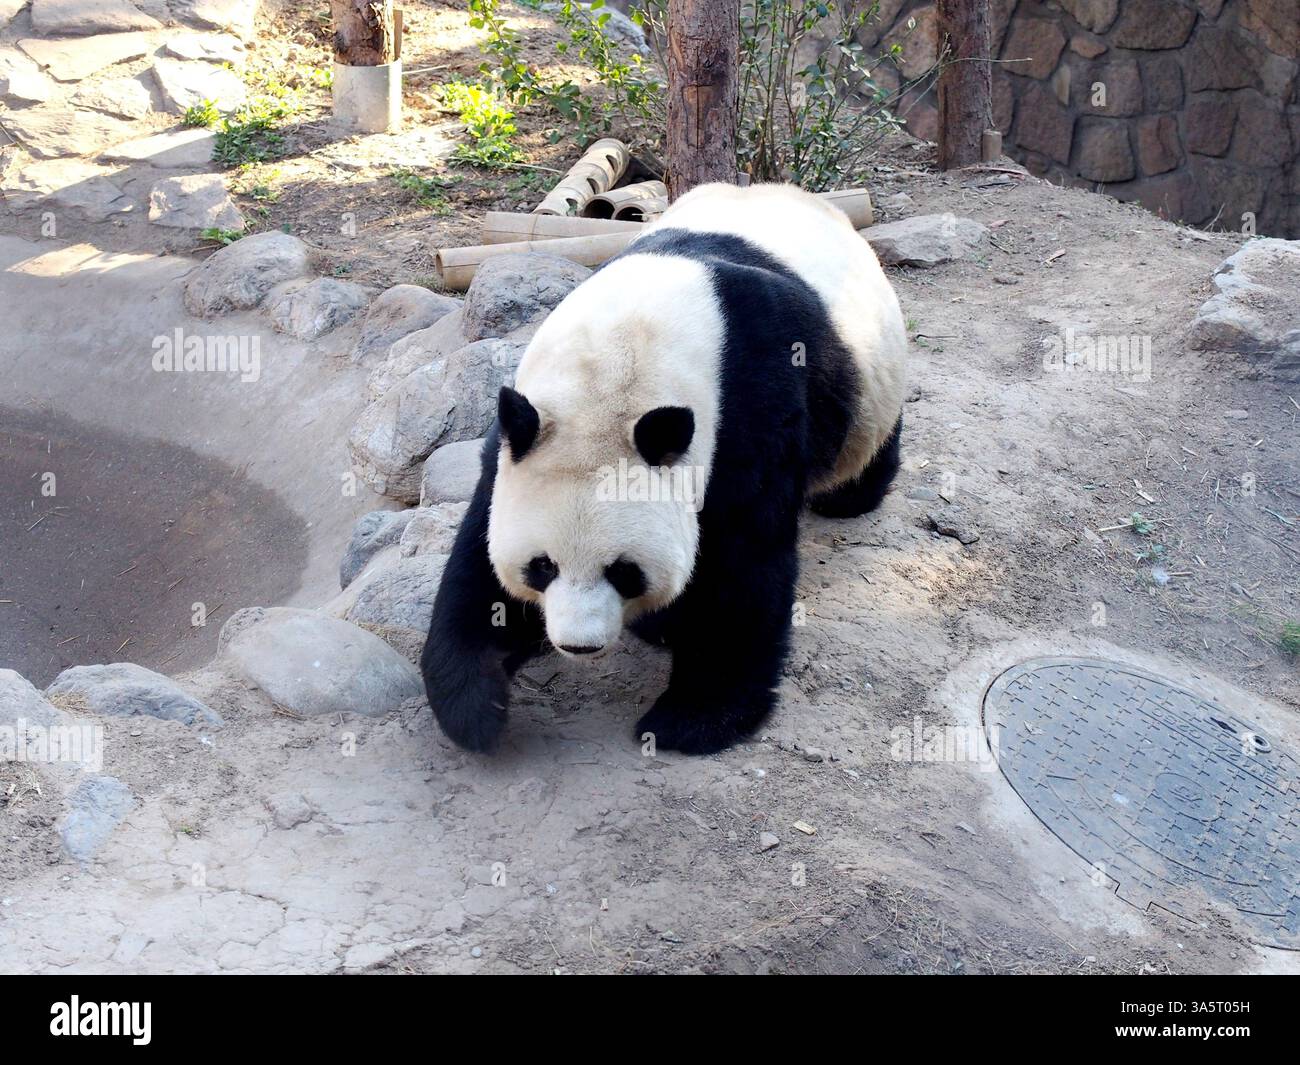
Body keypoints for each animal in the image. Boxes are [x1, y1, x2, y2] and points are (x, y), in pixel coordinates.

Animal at [421, 182, 908, 755]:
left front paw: (691, 717)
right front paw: (477, 704)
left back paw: (849, 498)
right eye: (542, 567)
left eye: (623, 571)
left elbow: (743, 560)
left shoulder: (751, 402)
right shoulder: (524, 435)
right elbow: (478, 557)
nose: (578, 645)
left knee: (866, 445)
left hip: (868, 377)